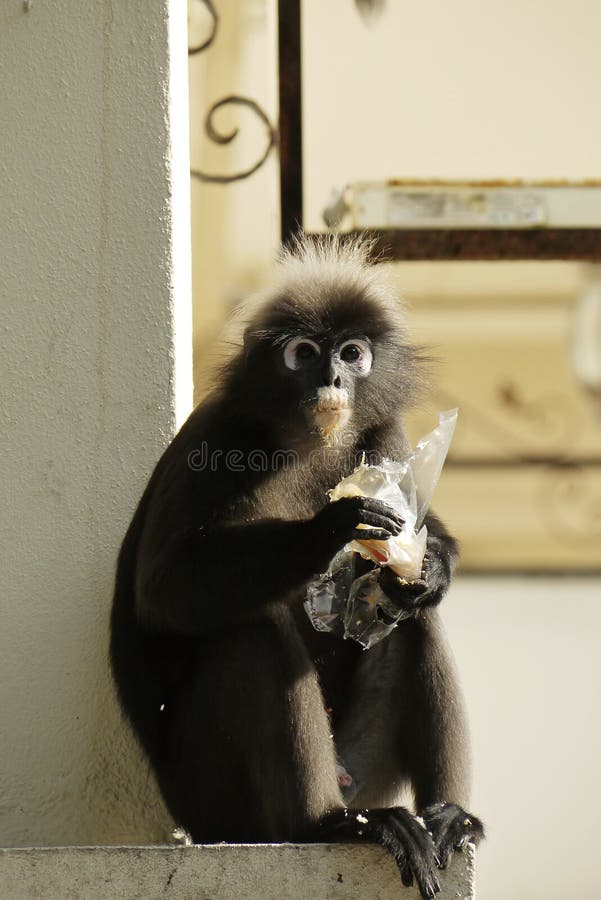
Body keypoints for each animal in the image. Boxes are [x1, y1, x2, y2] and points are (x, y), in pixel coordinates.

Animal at [110, 235, 483, 899]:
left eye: (352, 353)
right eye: (303, 353)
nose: (331, 375)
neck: (310, 442)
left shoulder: (385, 433)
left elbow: (420, 539)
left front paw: (428, 567)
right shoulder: (215, 433)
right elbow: (162, 590)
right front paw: (331, 529)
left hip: (365, 767)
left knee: (414, 618)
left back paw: (447, 818)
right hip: (219, 803)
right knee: (250, 626)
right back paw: (325, 825)